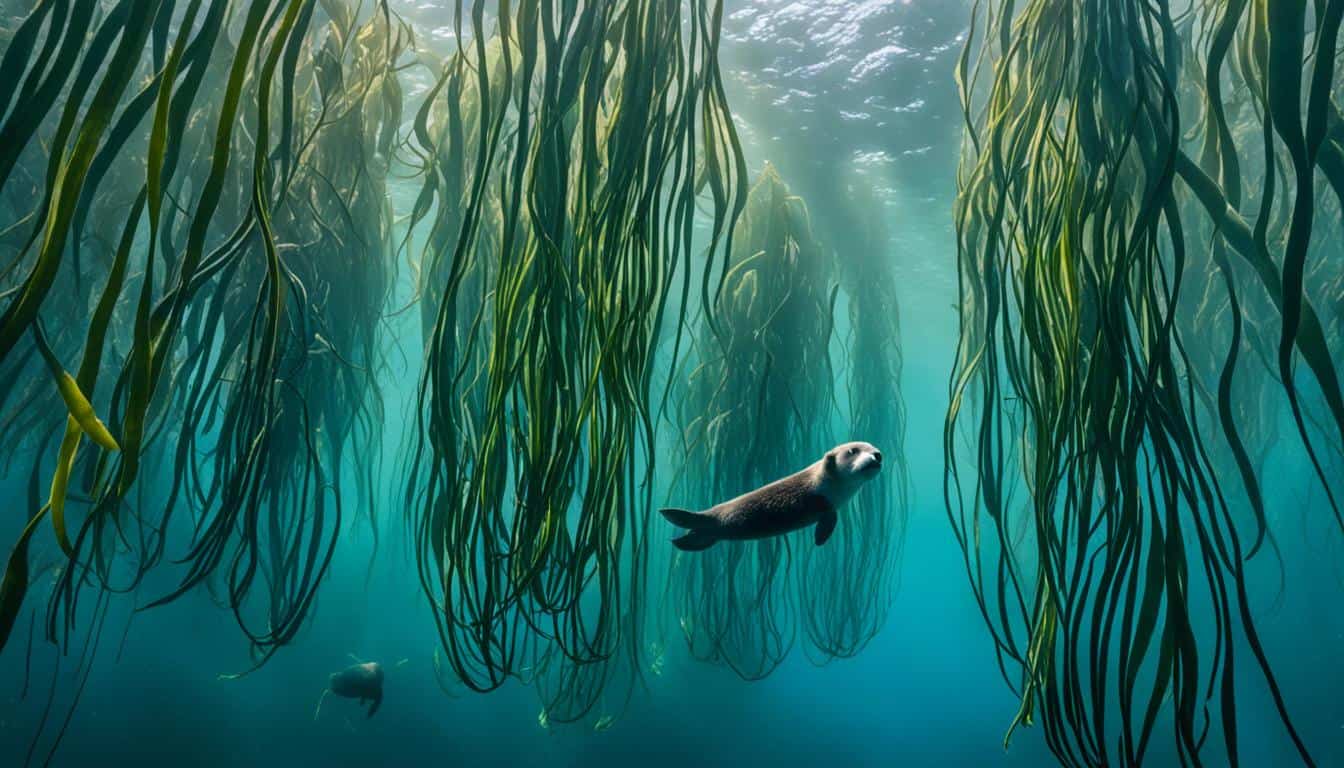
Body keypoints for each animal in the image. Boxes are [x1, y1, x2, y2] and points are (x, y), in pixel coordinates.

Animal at [660, 441, 883, 551]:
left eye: (876, 451)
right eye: (853, 451)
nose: (877, 456)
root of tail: (704, 516)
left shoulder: (831, 509)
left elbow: (828, 521)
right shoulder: (822, 495)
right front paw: (819, 540)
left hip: (706, 533)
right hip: (711, 518)